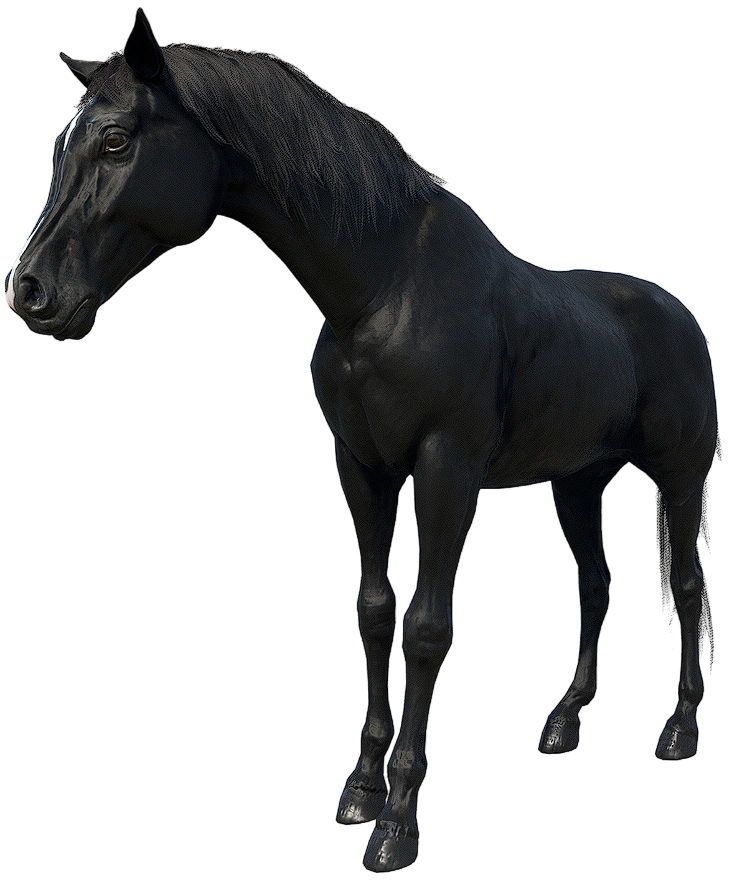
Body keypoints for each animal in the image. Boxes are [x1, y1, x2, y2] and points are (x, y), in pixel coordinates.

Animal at [5, 8, 720, 871]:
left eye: (115, 140)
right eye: (61, 142)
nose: (31, 291)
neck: (384, 289)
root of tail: (678, 316)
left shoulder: (445, 465)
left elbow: (424, 627)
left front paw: (398, 825)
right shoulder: (362, 468)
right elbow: (376, 612)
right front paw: (360, 791)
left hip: (676, 480)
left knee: (684, 587)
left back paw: (678, 733)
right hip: (577, 482)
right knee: (593, 587)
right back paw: (561, 724)